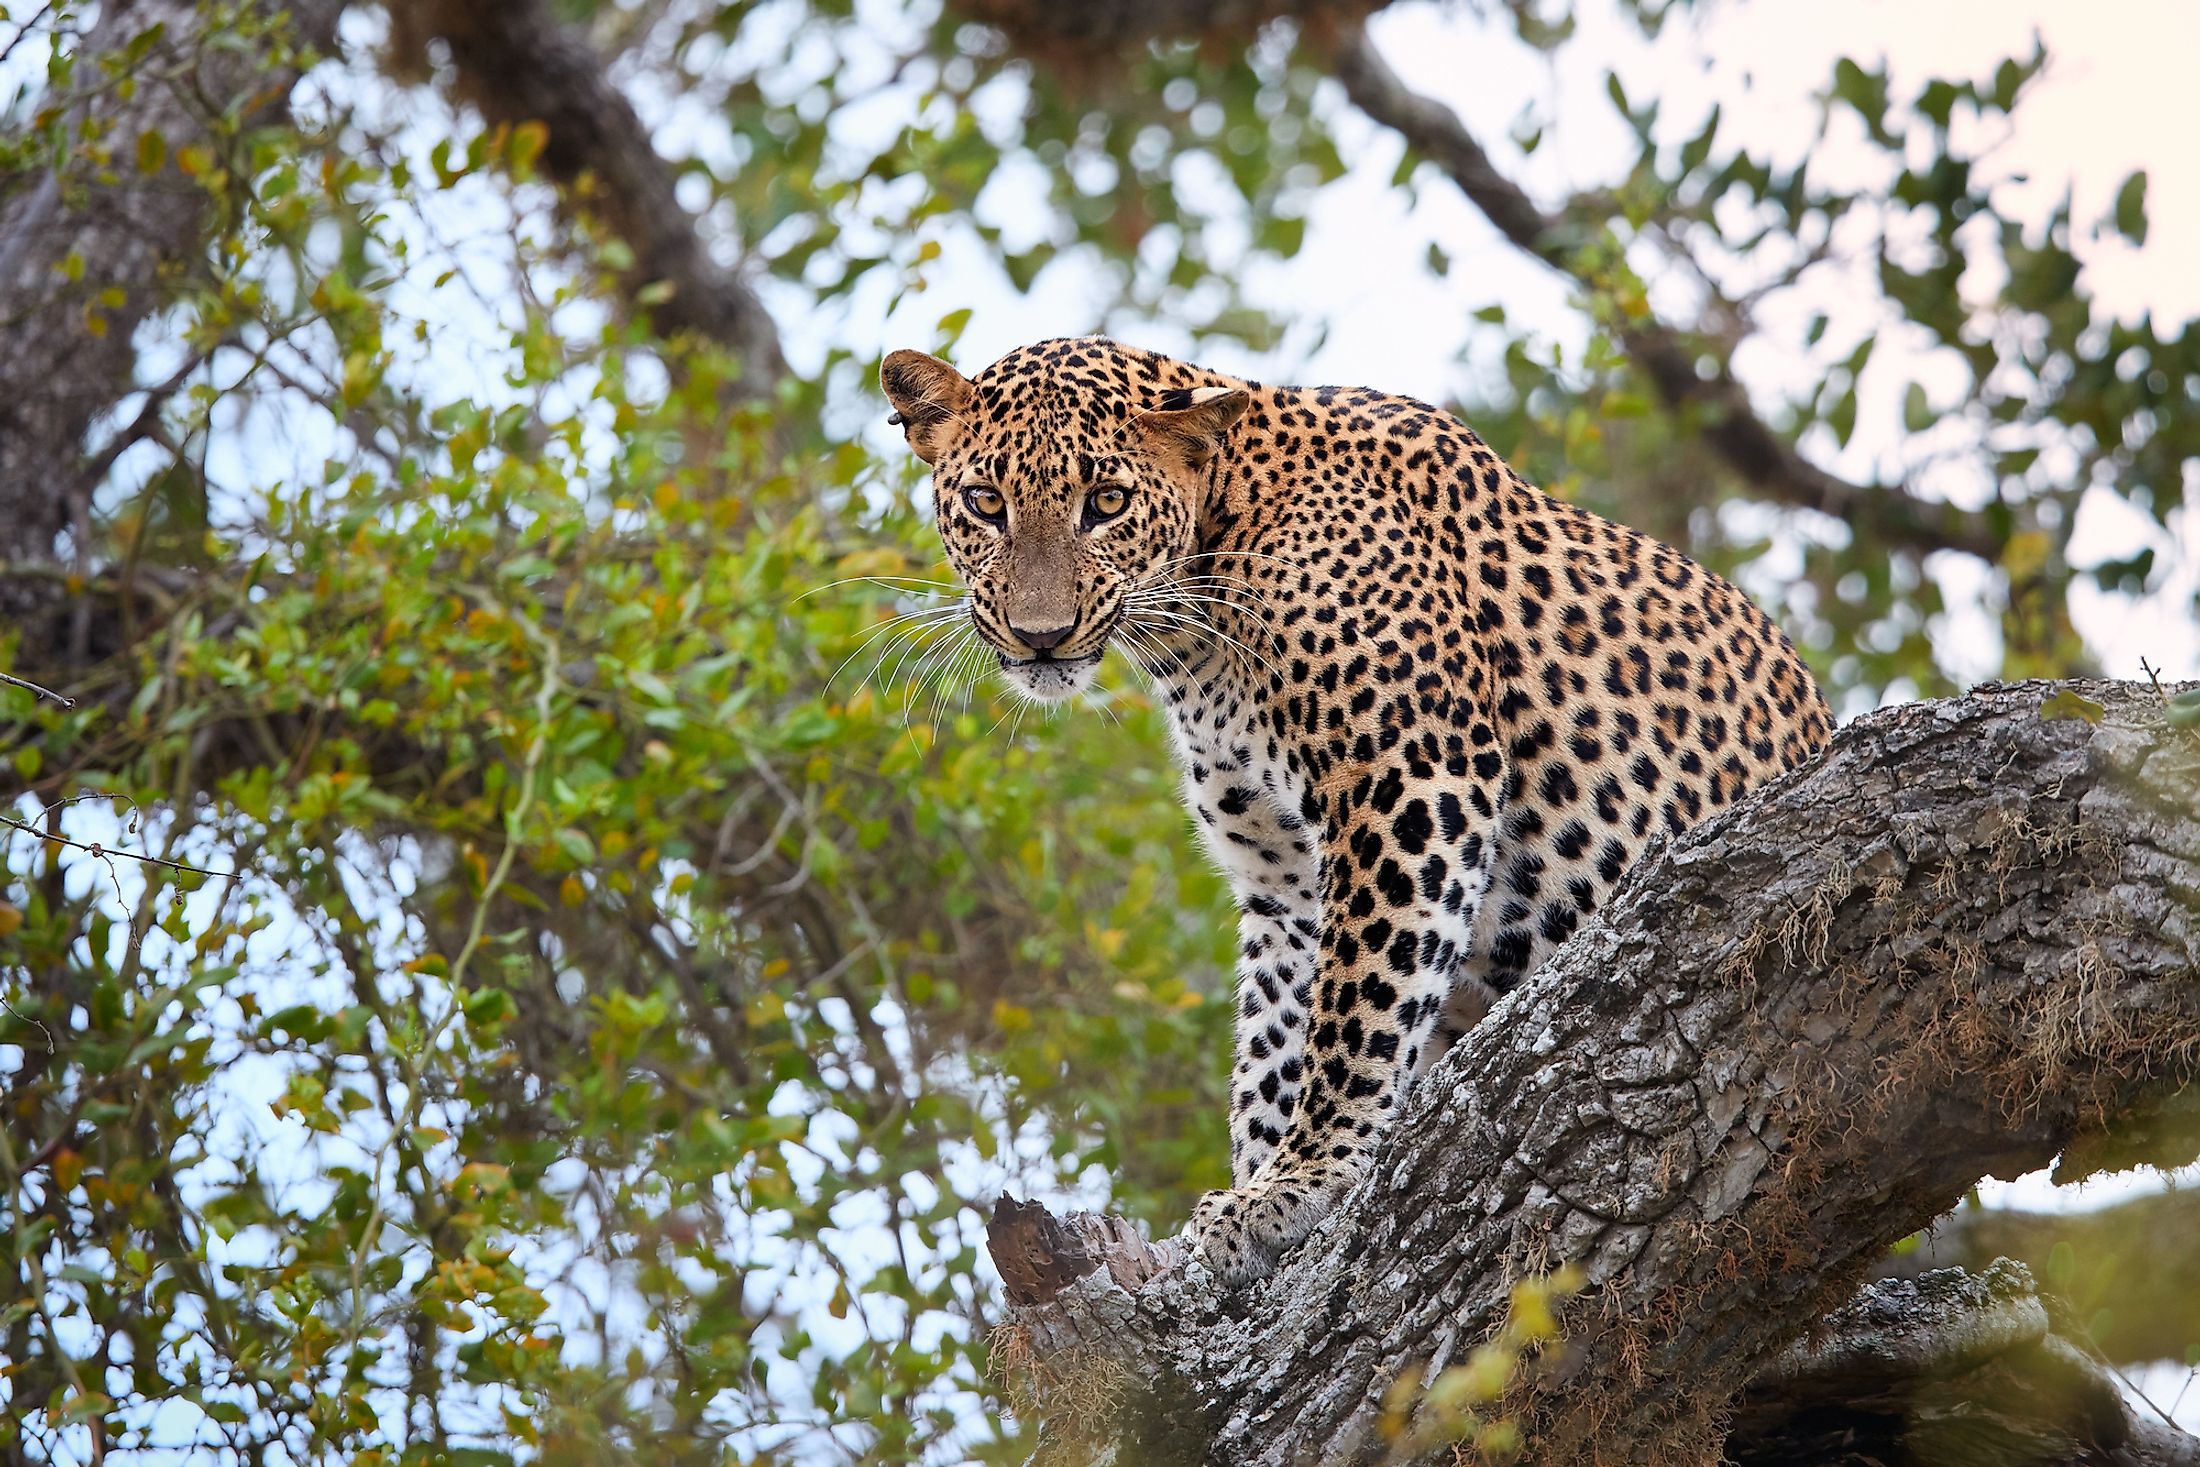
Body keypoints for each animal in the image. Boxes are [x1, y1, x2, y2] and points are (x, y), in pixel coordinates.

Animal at [884, 332, 1830, 1284]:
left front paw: (1303, 1181)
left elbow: (1361, 1006)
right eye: (985, 503)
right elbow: (1278, 1039)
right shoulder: (1284, 877)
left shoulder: (1412, 776)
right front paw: (1260, 1183)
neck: (1196, 628)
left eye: (1106, 502)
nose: (1039, 636)